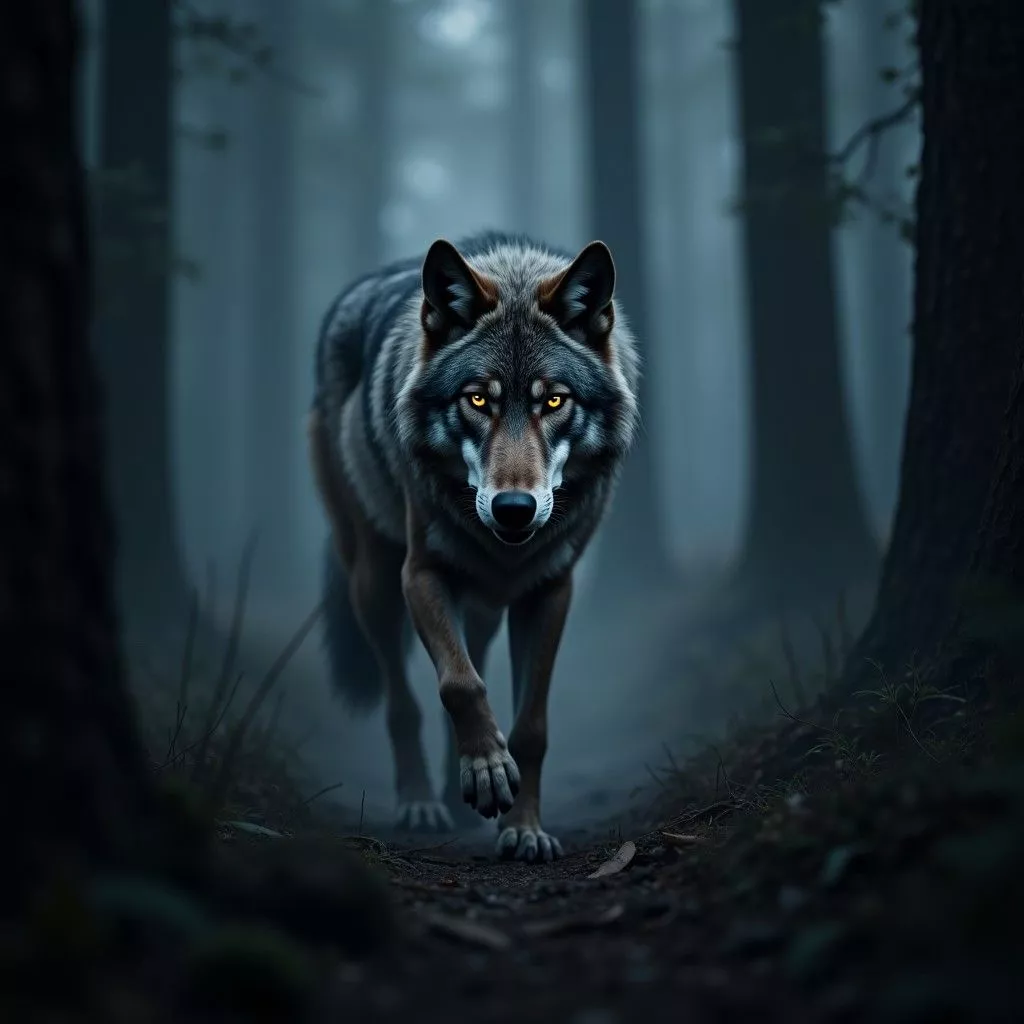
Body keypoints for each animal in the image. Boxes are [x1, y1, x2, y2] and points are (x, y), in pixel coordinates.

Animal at [307, 231, 640, 862]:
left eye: (553, 402)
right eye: (478, 401)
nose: (514, 509)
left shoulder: (550, 590)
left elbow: (530, 725)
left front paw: (524, 827)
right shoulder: (421, 575)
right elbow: (458, 685)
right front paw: (486, 767)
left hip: (483, 605)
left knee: (468, 664)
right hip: (374, 583)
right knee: (404, 702)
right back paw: (422, 802)